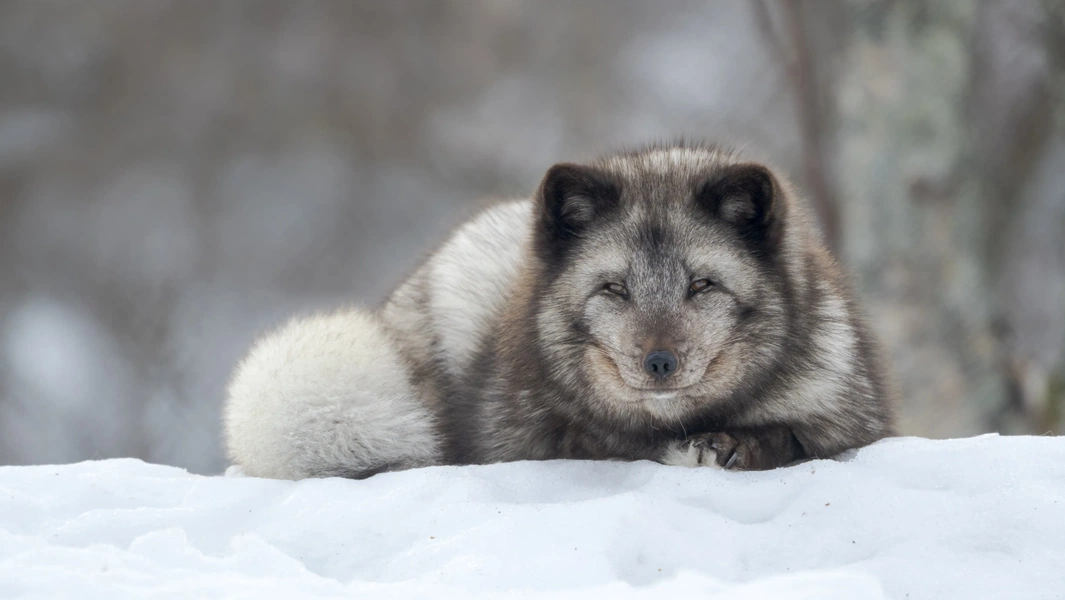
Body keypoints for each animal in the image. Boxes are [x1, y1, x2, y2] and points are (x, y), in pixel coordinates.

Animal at [223, 143, 894, 480]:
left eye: (702, 285)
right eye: (614, 289)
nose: (659, 363)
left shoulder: (853, 419)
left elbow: (793, 437)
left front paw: (735, 445)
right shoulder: (517, 438)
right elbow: (590, 441)